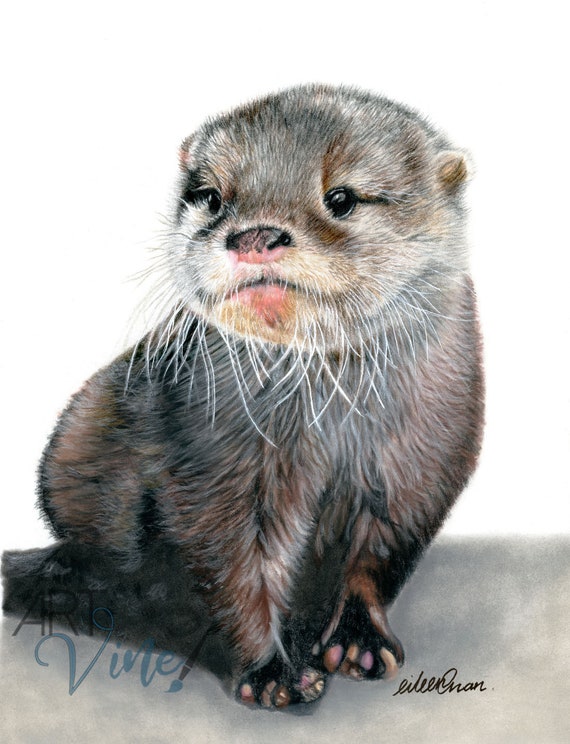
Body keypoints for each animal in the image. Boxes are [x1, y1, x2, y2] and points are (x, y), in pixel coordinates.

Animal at [37, 84, 484, 708]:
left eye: (341, 197)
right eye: (210, 197)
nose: (254, 236)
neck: (329, 428)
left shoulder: (423, 462)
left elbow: (377, 559)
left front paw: (359, 639)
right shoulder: (208, 464)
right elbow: (234, 570)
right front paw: (272, 672)